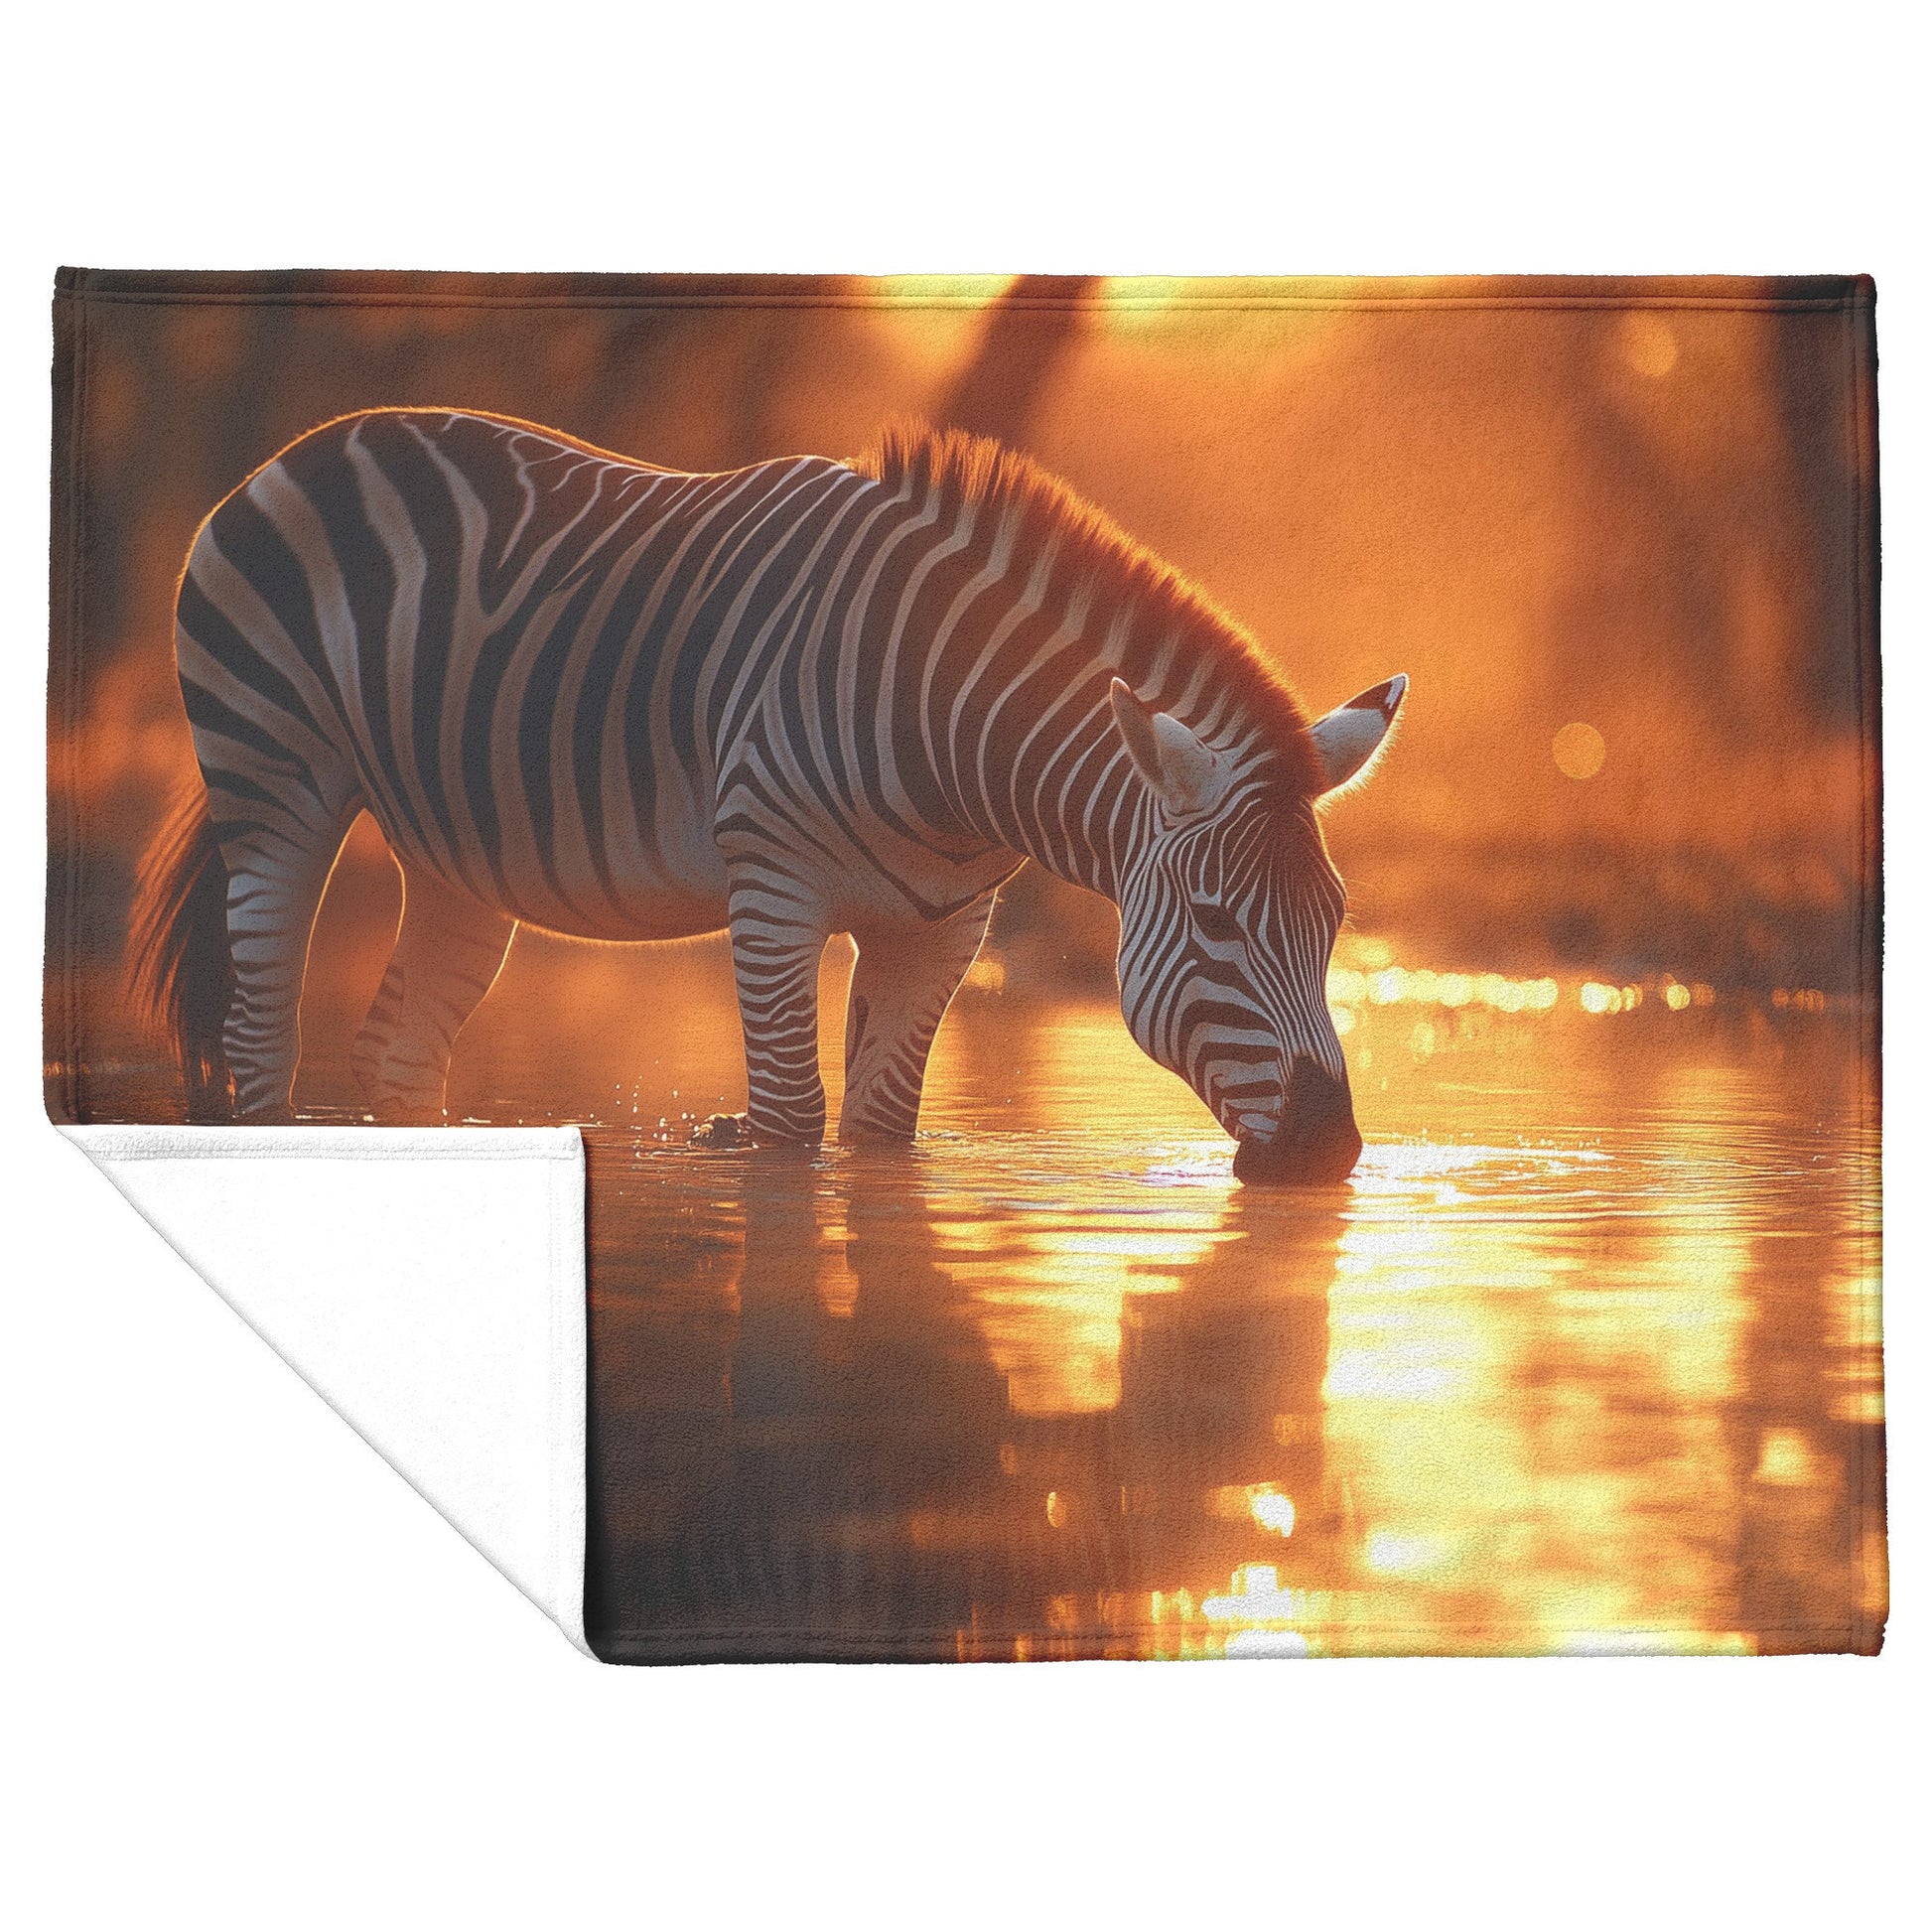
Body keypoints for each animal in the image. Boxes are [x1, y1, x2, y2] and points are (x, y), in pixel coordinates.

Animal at [130, 410, 1405, 1183]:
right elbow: (791, 1129)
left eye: (1335, 924)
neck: (945, 731)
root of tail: (317, 438)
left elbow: (881, 1136)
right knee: (258, 1036)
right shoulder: (771, 889)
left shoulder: (942, 927)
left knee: (395, 1053)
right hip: (272, 773)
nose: (1327, 1151)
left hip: (451, 844)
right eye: (1215, 921)